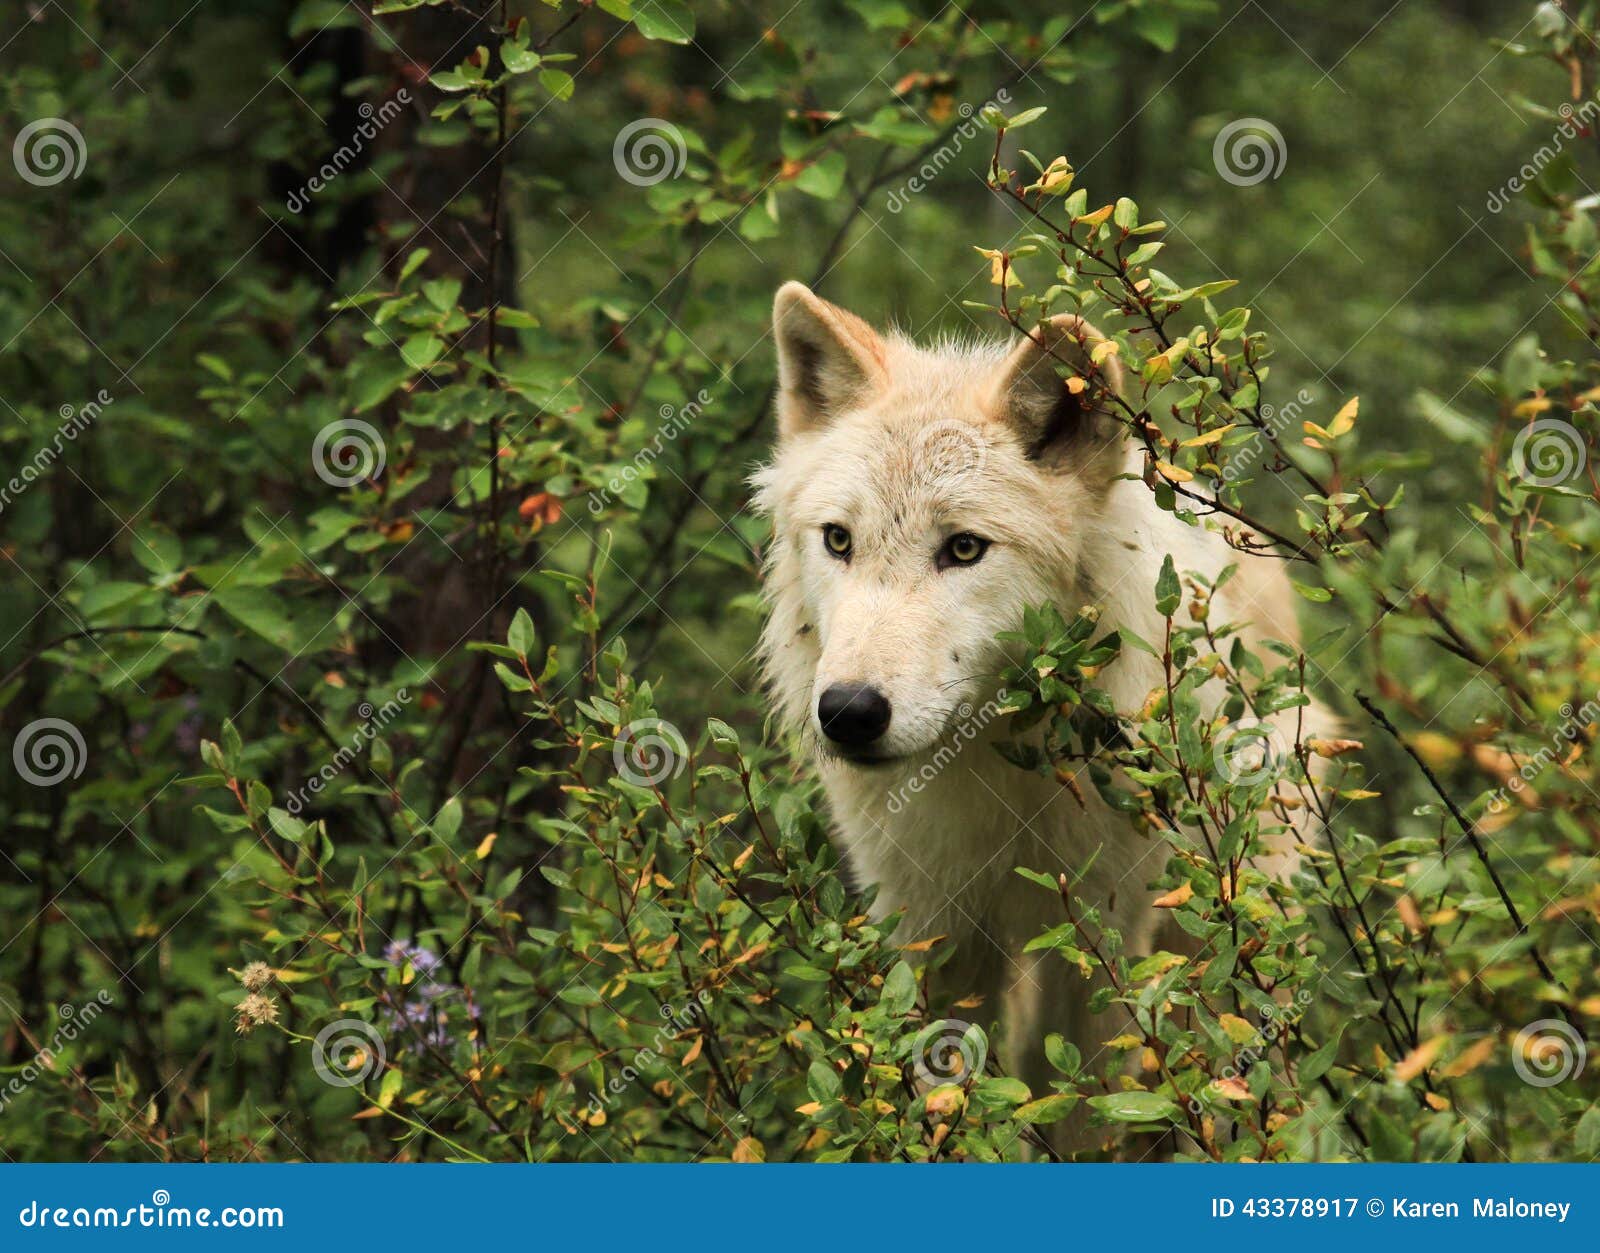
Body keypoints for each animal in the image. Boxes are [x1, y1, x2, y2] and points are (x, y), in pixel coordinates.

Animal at [754, 282, 1331, 1145]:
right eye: (838, 540)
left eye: (964, 549)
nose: (850, 712)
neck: (1001, 770)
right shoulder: (932, 927)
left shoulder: (1106, 944)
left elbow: (1092, 1115)